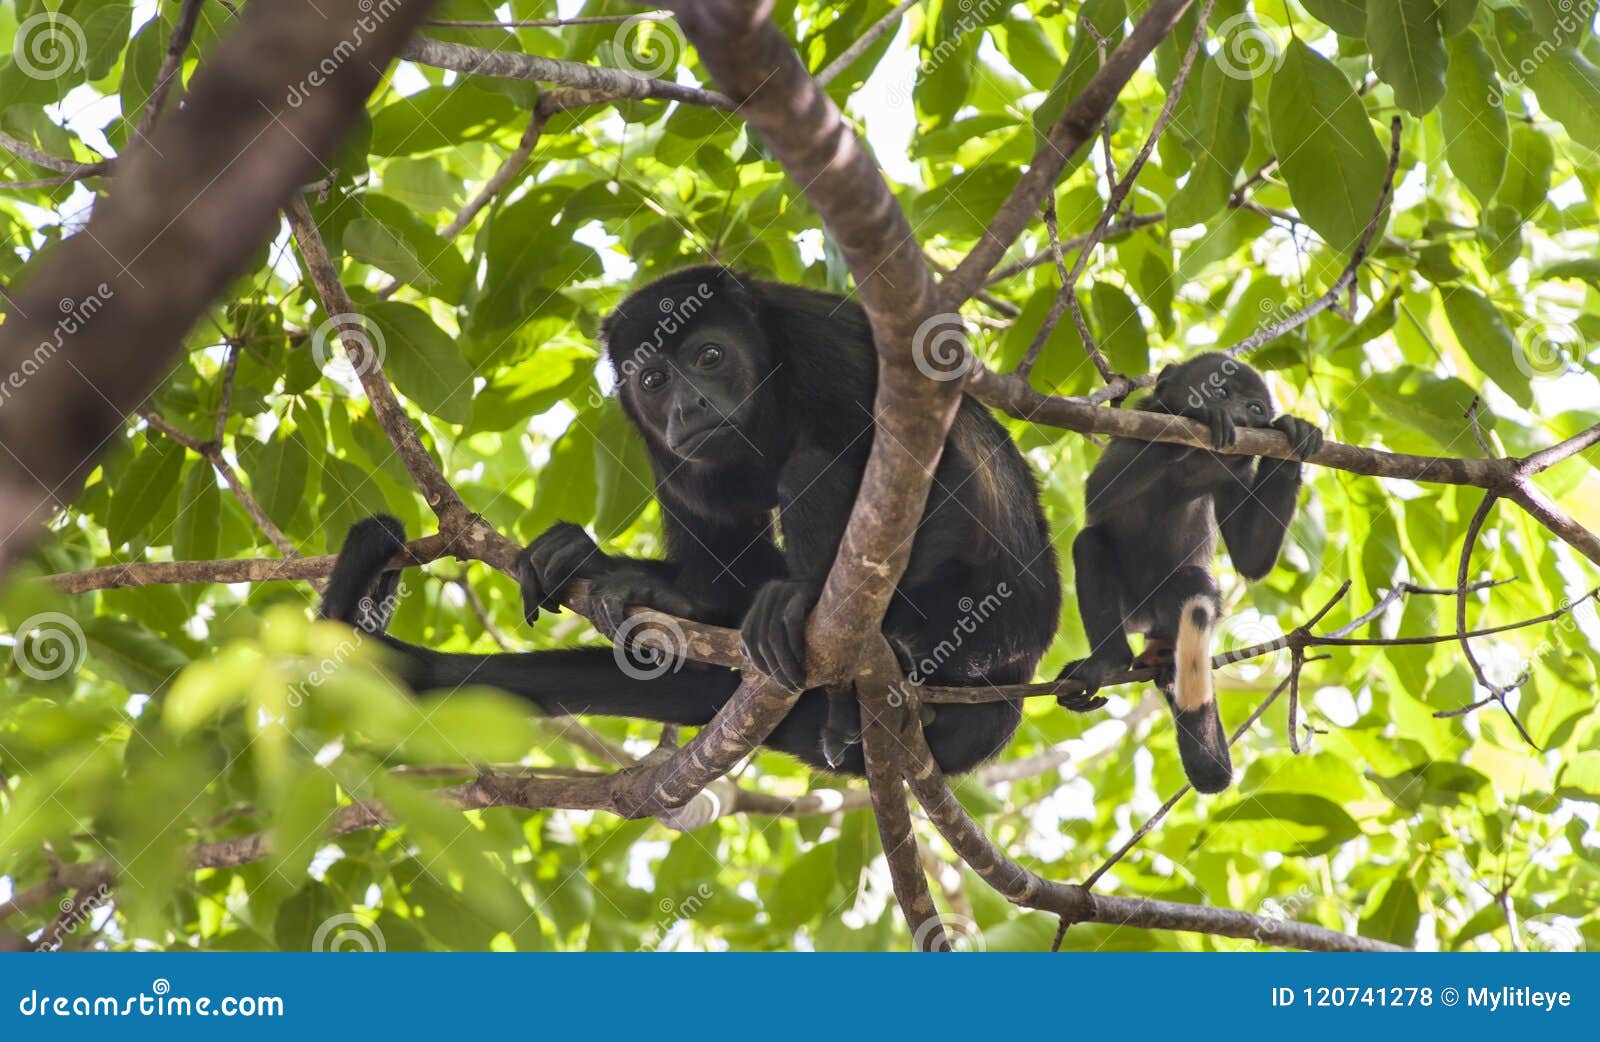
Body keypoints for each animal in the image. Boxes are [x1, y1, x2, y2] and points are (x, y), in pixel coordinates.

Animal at [319, 265, 1096, 777]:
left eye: (711, 356)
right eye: (654, 379)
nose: (688, 406)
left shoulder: (836, 345)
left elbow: (917, 470)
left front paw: (801, 599)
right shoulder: (650, 438)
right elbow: (724, 562)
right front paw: (627, 573)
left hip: (993, 625)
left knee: (837, 465)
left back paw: (859, 646)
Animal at [1057, 352, 1322, 793]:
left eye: (1256, 409)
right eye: (1221, 389)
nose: (1241, 416)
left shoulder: (1236, 471)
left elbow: (1251, 559)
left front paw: (1292, 436)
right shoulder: (1132, 431)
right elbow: (1099, 494)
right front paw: (1196, 415)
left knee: (1192, 581)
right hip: (1133, 612)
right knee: (1090, 544)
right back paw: (1109, 661)